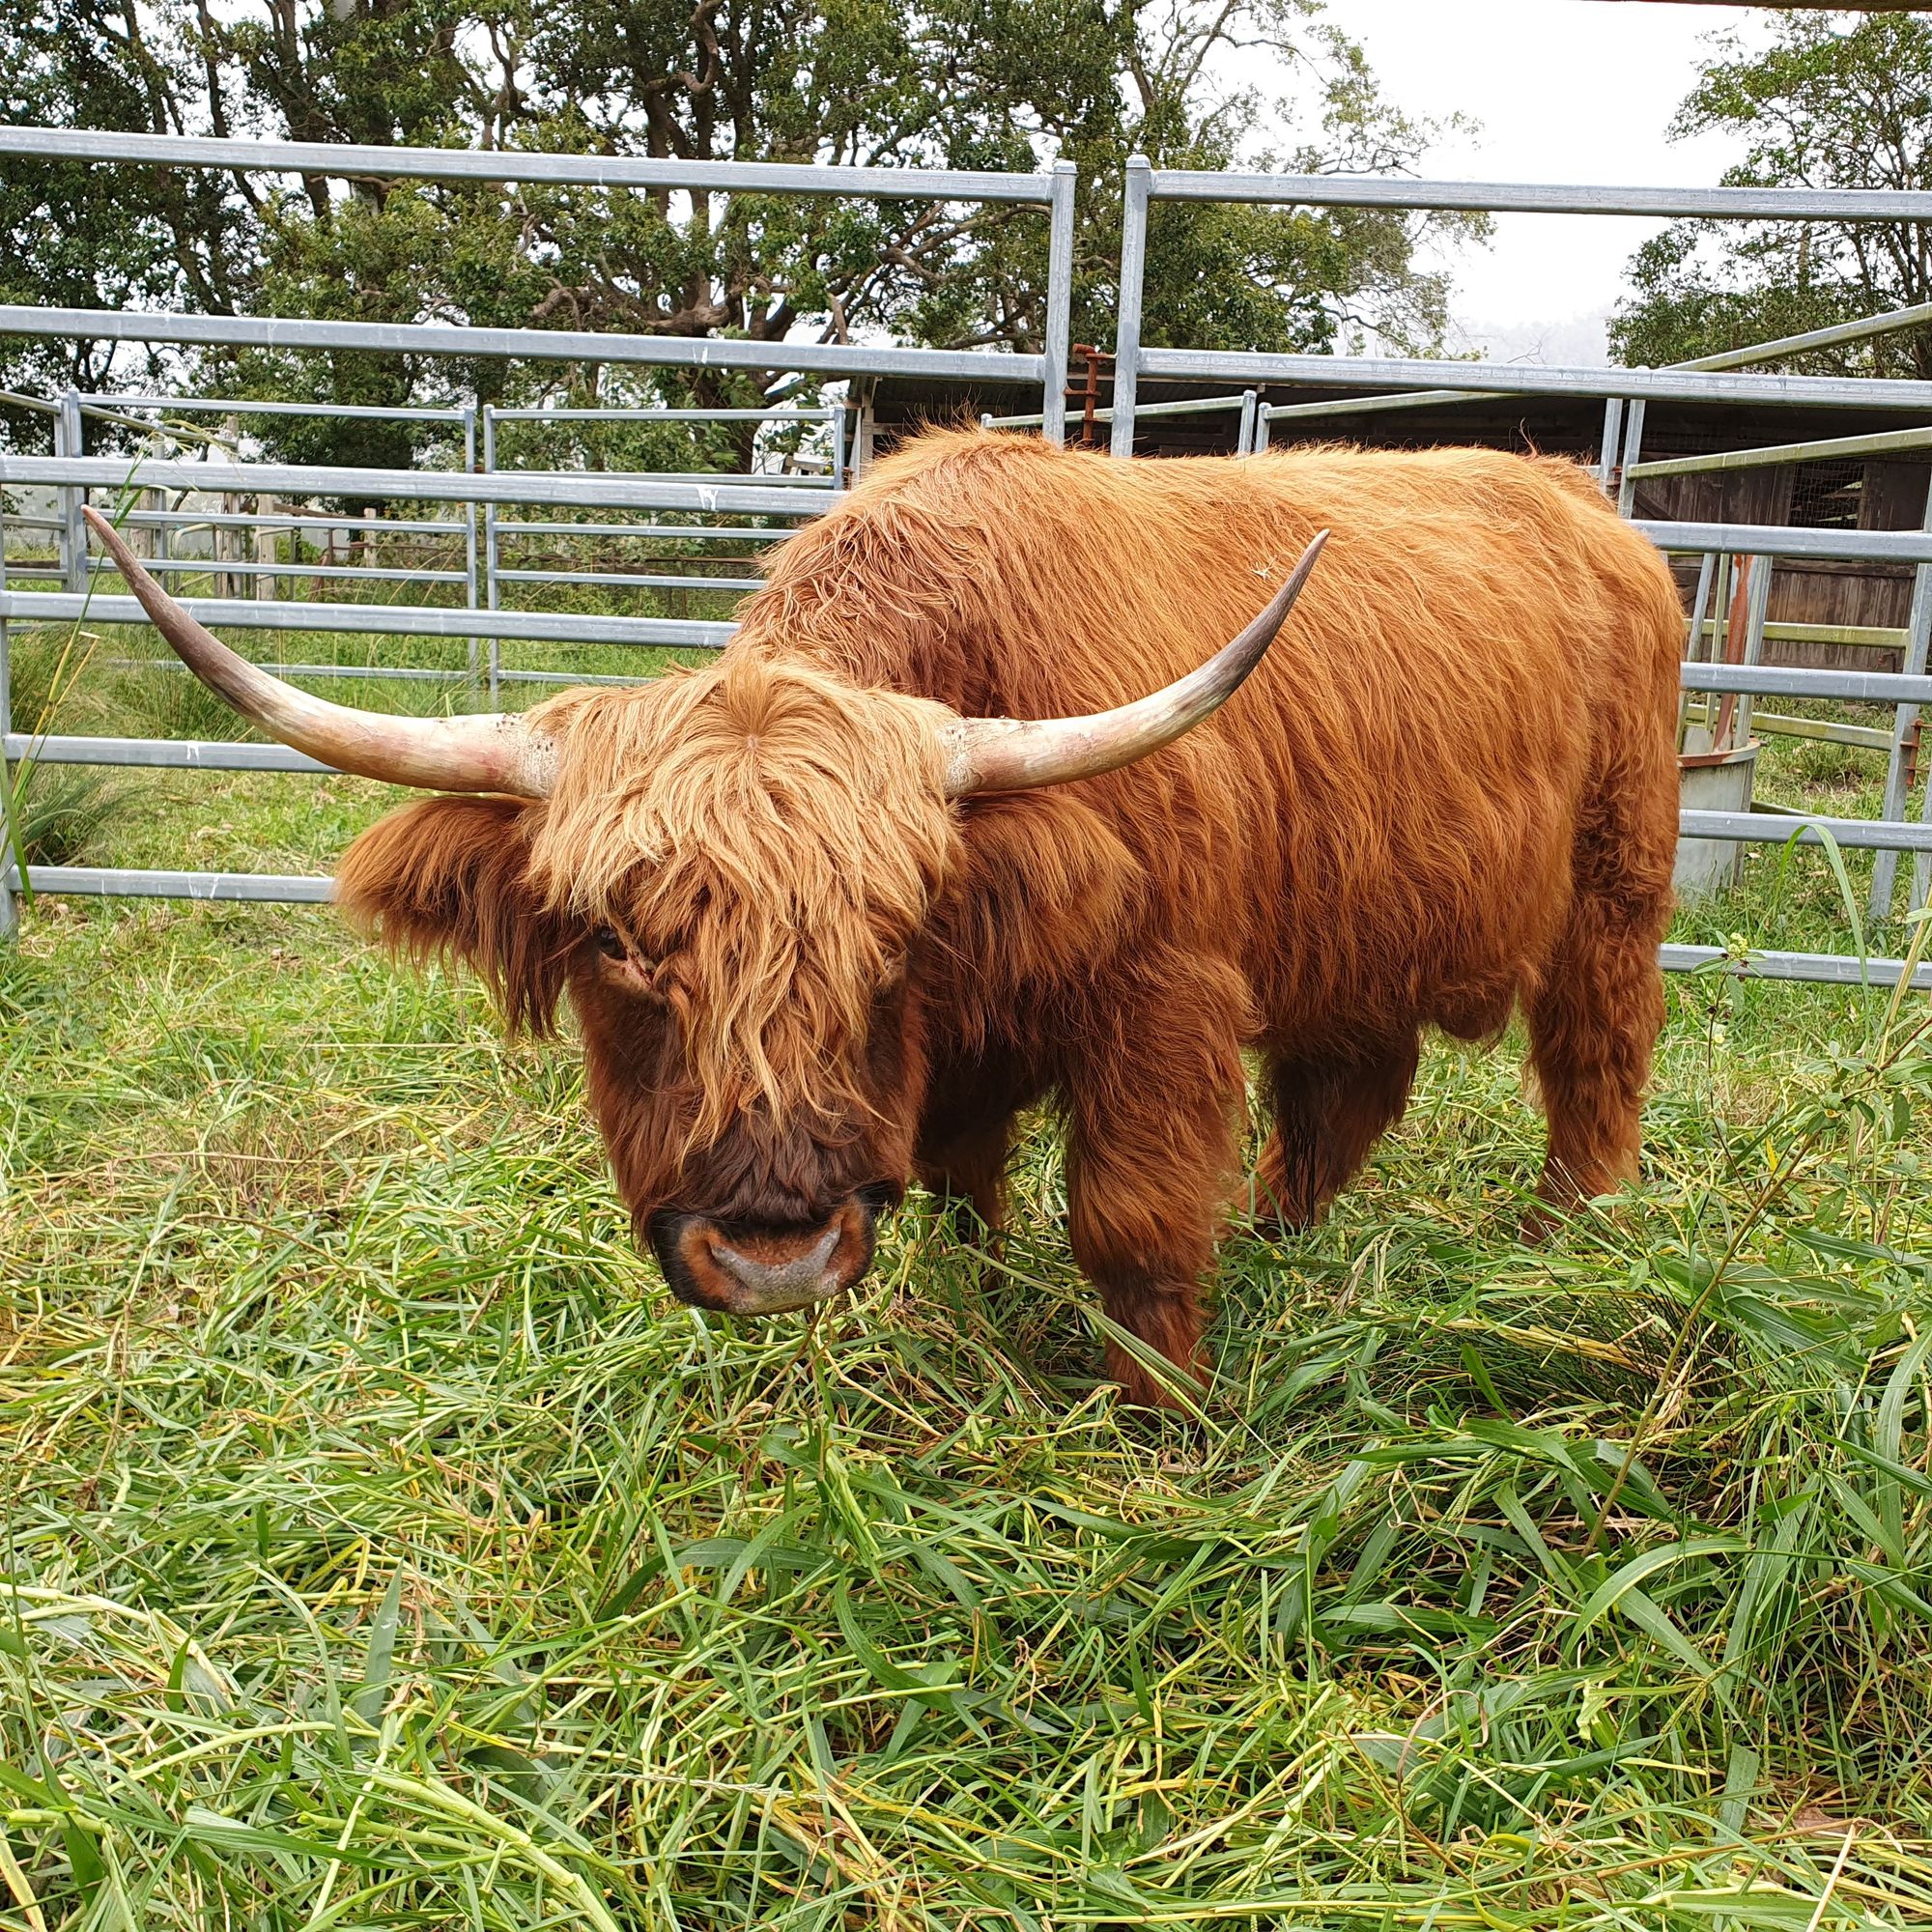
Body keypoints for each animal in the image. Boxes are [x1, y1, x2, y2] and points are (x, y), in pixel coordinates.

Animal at [83, 429, 1681, 1408]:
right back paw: (1286, 1231)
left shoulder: (1159, 998)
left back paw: (1570, 1242)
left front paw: (1157, 1421)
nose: (773, 1251)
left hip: (1619, 878)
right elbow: (966, 1188)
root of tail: (1582, 498)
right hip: (1356, 921)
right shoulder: (964, 1057)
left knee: (1595, 1054)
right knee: (1349, 1083)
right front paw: (965, 1305)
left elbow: (1134, 1225)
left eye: (888, 937)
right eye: (620, 945)